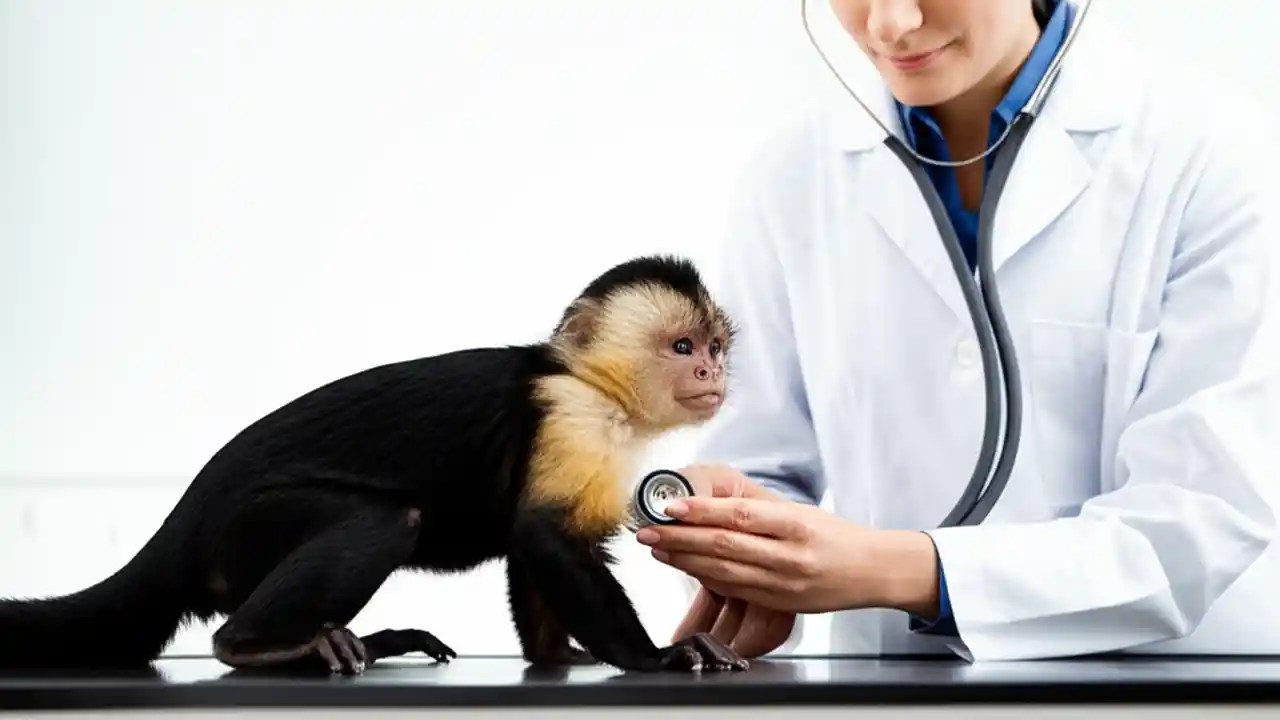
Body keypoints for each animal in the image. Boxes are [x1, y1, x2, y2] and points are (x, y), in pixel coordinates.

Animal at [0, 254, 750, 675]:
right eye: (683, 346)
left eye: (716, 347)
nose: (713, 373)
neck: (590, 383)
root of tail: (182, 522)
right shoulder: (571, 415)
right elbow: (543, 535)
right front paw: (657, 656)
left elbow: (530, 543)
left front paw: (554, 655)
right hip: (243, 532)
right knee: (387, 521)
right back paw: (257, 646)